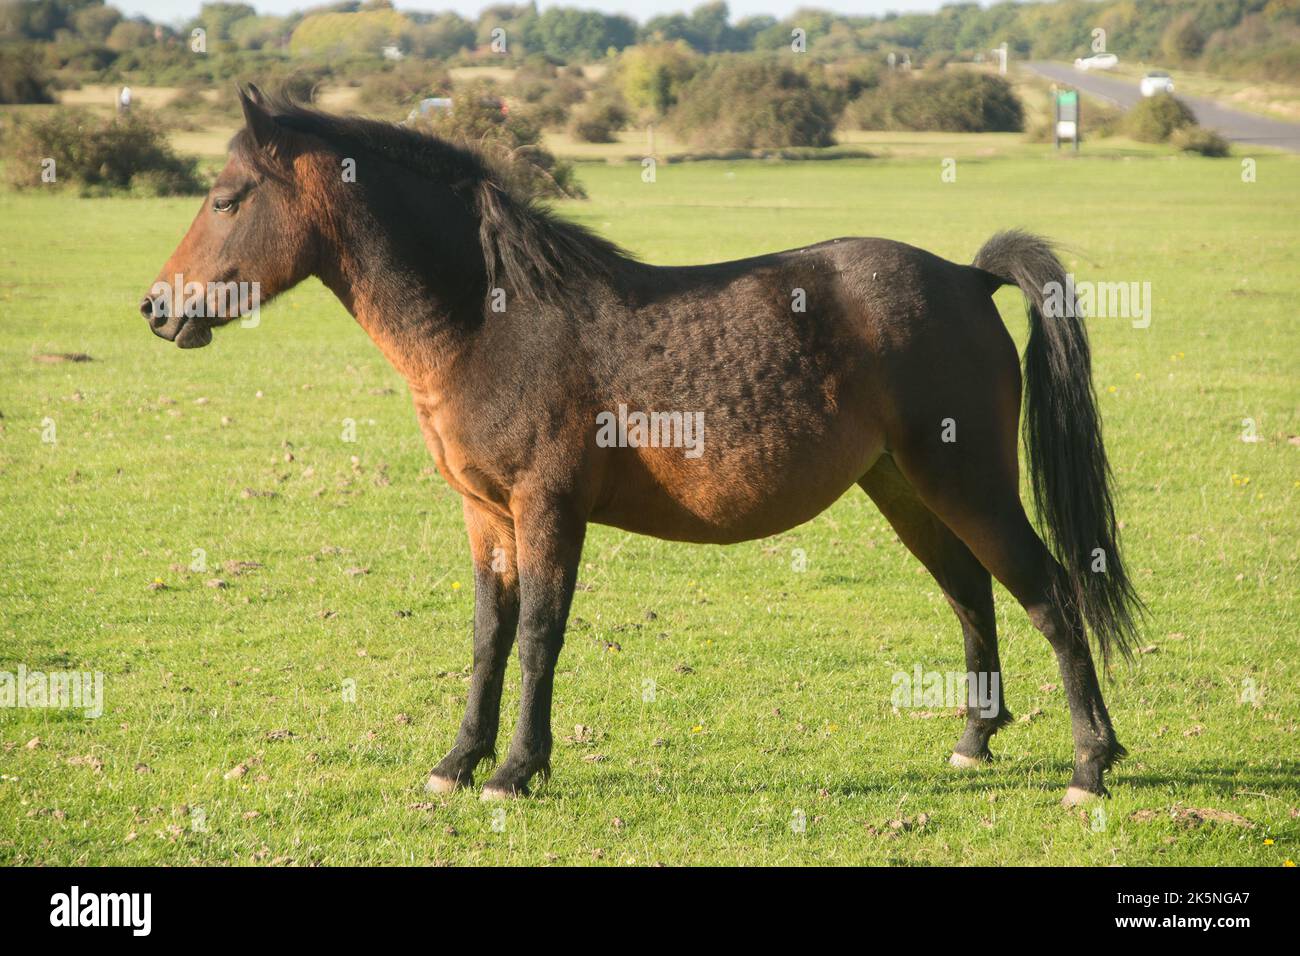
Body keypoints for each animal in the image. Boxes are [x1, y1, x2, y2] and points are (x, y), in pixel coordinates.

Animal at [142, 86, 1142, 805]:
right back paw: (973, 742)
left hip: (968, 484)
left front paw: (516, 771)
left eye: (226, 198)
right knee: (972, 596)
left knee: (1051, 595)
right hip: (905, 489)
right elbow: (488, 635)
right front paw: (457, 762)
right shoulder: (485, 515)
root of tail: (968, 279)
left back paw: (1090, 767)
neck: (491, 320)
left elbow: (539, 634)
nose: (156, 307)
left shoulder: (547, 507)